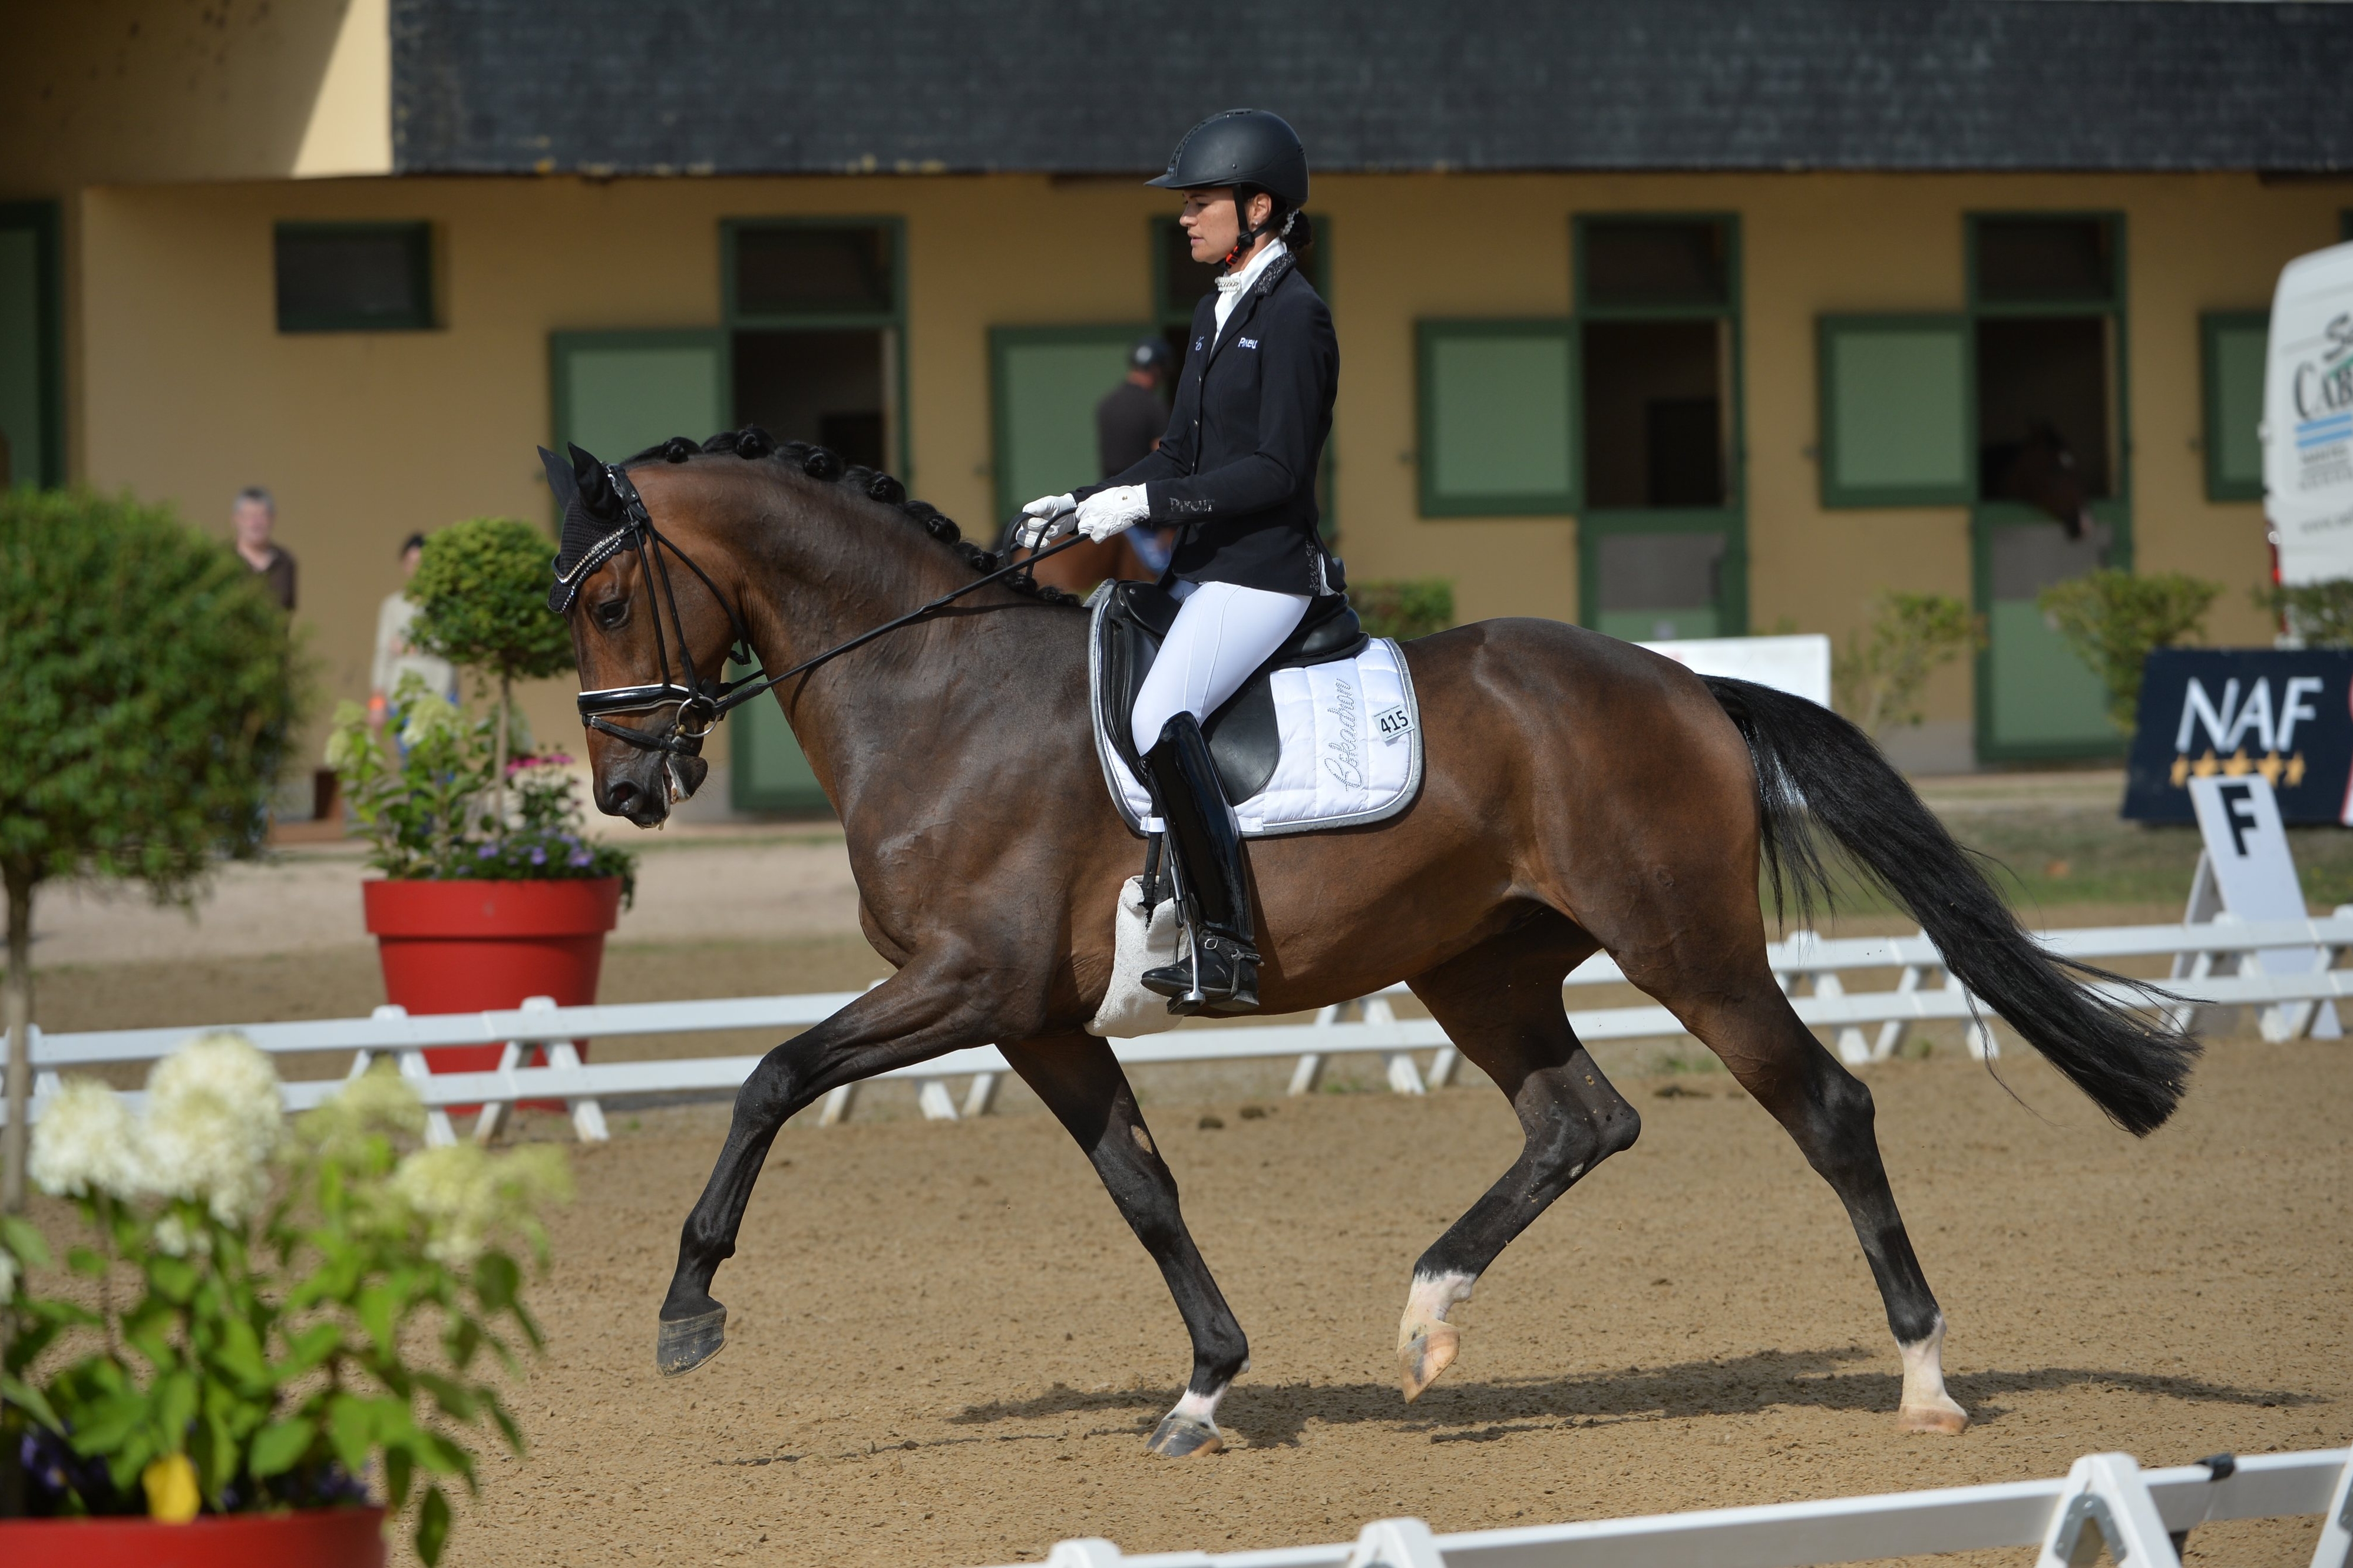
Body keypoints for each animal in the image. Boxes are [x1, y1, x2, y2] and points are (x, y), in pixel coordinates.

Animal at [556, 427, 2196, 1458]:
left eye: (608, 595)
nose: (629, 789)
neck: (933, 692)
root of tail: (1680, 682)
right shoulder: (1038, 1018)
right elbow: (1141, 1190)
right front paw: (1205, 1390)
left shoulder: (968, 984)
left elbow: (771, 1074)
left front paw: (688, 1306)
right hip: (1478, 964)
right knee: (1578, 1119)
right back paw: (1425, 1319)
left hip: (1686, 946)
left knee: (1825, 1105)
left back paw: (1921, 1379)